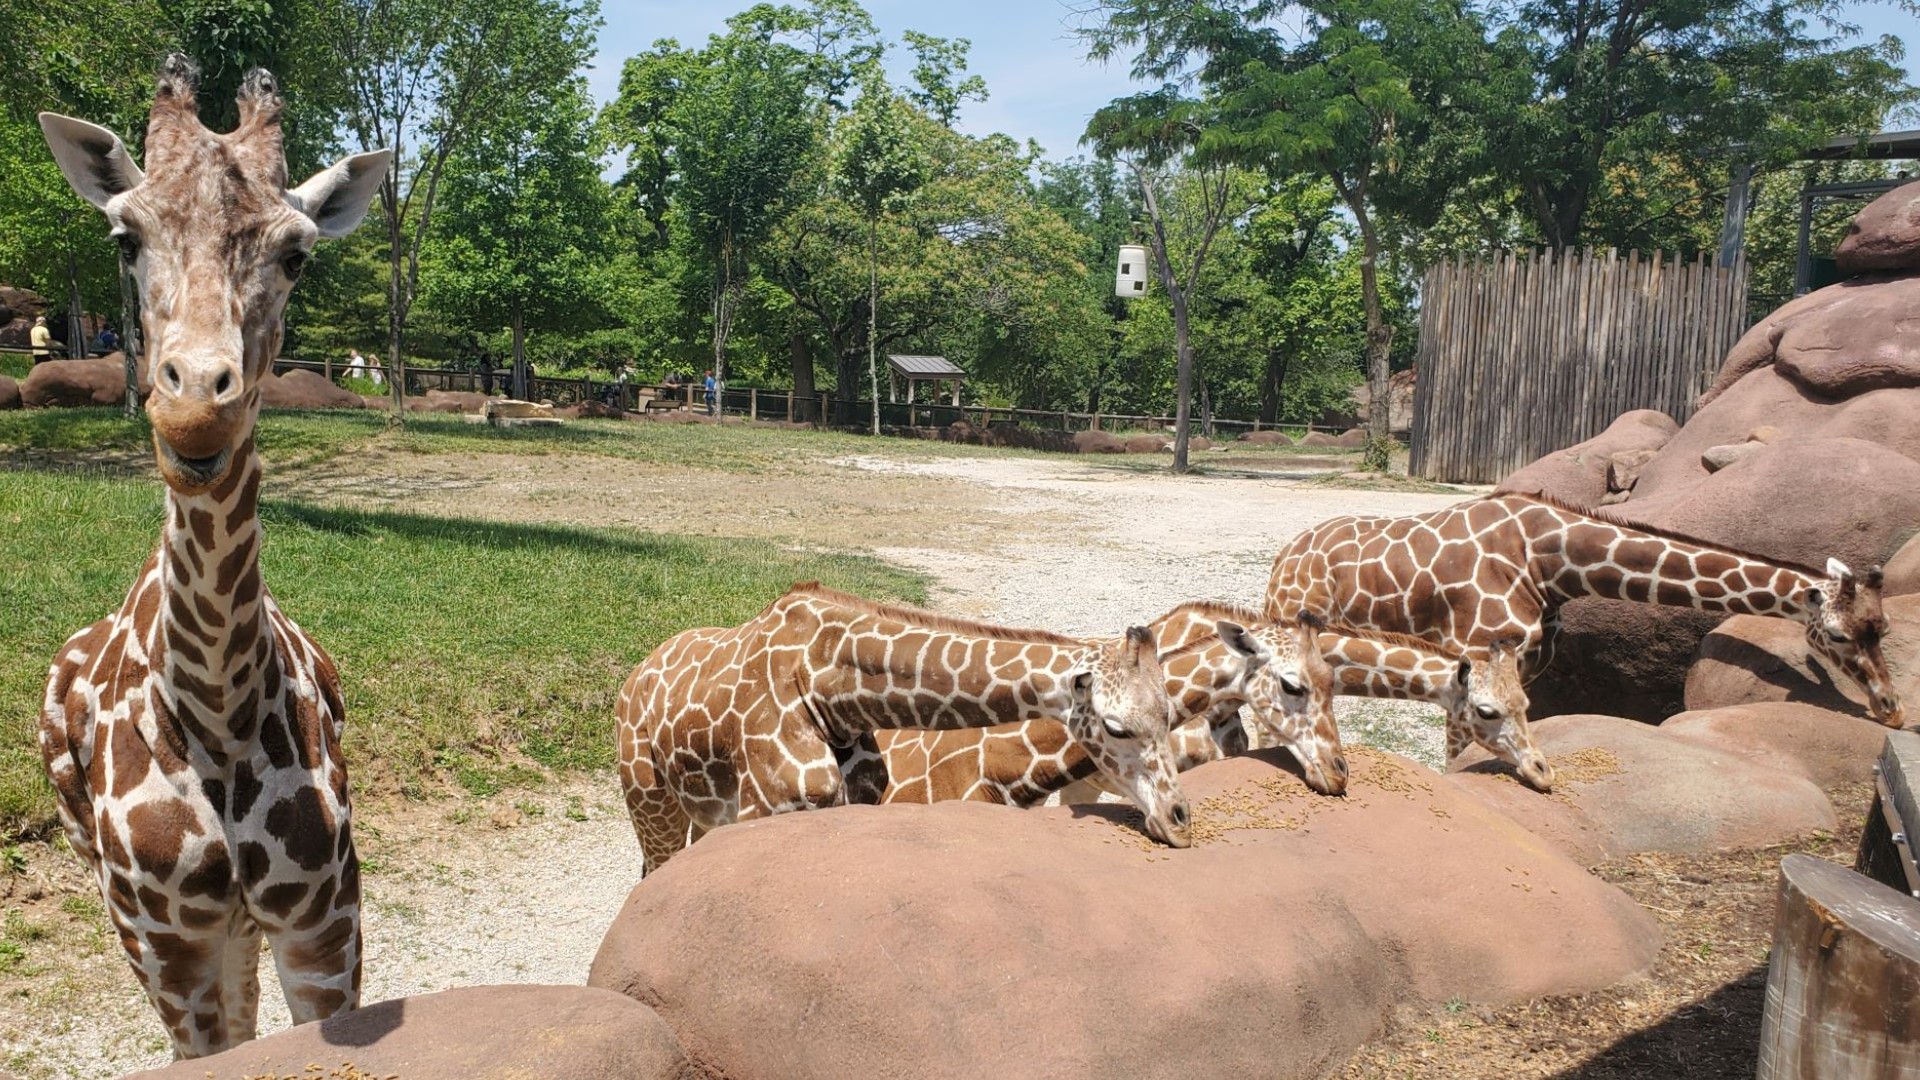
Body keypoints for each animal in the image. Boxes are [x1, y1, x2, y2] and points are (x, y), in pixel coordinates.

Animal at [35, 56, 389, 1058]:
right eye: (125, 237)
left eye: (296, 253)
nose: (196, 404)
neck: (218, 711)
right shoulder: (166, 944)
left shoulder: (324, 922)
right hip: (135, 917)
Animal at [615, 583, 1192, 872]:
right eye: (1116, 727)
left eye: (1170, 716)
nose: (1179, 822)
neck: (829, 691)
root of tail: (636, 674)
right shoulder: (764, 808)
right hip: (650, 801)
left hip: (703, 812)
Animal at [1265, 492, 1904, 727]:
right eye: (1840, 636)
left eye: (1883, 627)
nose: (1892, 710)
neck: (1549, 561)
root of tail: (1285, 554)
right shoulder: (1475, 656)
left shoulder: (1529, 664)